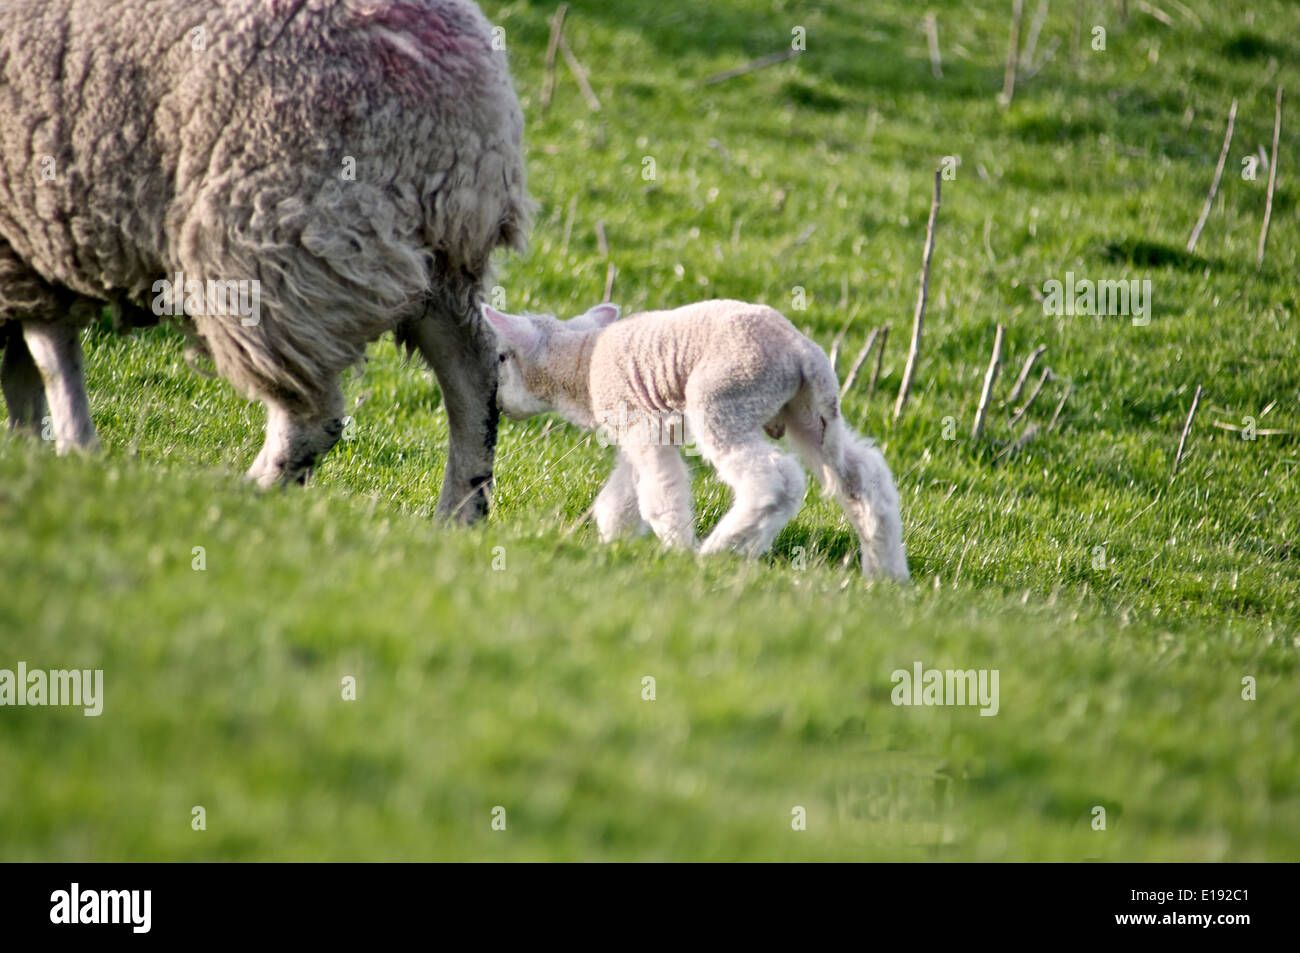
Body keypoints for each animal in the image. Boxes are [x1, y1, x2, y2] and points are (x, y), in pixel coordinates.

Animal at [0, 0, 529, 521]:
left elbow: (50, 358)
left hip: (278, 247)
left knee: (314, 418)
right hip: (439, 256)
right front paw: (32, 447)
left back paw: (242, 495)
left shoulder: (25, 244)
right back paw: (457, 516)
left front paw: (69, 451)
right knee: (476, 379)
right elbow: (28, 367)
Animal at [483, 300, 910, 580]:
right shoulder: (652, 430)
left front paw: (676, 548)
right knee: (863, 476)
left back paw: (719, 551)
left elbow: (659, 493)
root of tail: (802, 353)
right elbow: (623, 494)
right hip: (809, 413)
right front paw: (614, 540)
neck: (580, 366)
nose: (498, 405)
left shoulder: (639, 425)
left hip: (724, 398)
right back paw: (886, 573)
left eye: (502, 357)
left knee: (776, 478)